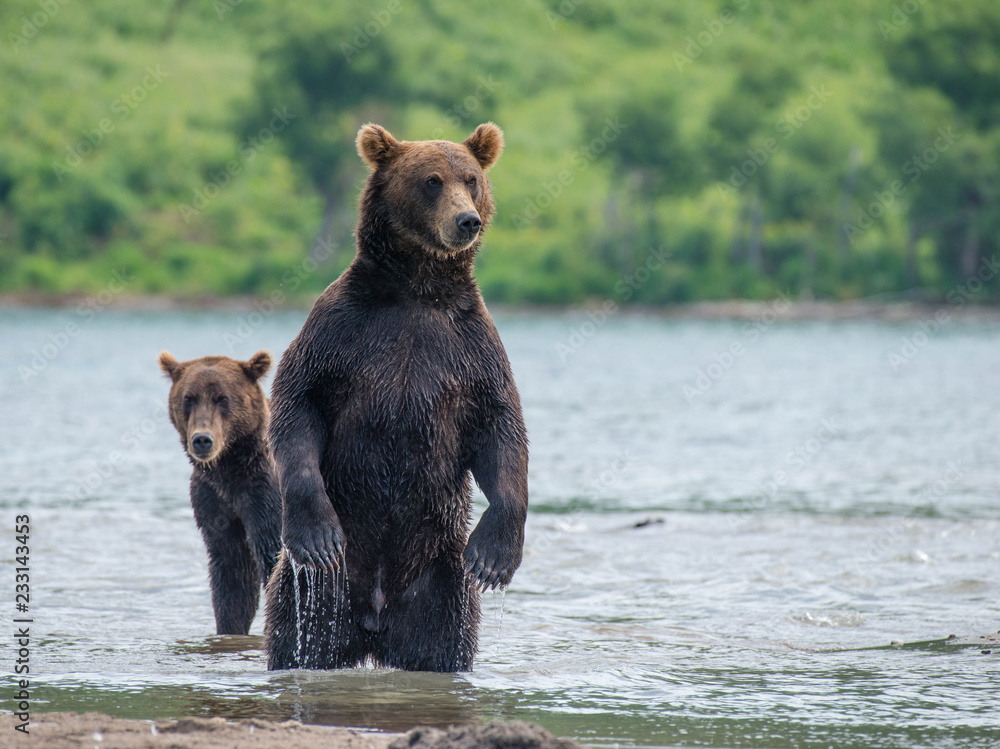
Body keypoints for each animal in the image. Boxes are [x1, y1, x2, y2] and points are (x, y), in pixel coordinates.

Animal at [159, 350, 283, 635]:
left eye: (222, 398)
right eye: (189, 398)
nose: (202, 440)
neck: (228, 469)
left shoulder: (263, 491)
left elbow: (271, 553)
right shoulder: (212, 497)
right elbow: (232, 571)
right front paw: (229, 627)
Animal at [264, 122, 528, 672]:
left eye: (471, 179)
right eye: (431, 181)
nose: (466, 221)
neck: (417, 290)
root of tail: (375, 618)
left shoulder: (469, 348)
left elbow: (501, 428)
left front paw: (494, 556)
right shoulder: (341, 332)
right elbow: (298, 405)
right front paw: (317, 535)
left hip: (441, 584)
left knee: (444, 644)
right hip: (318, 596)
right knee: (294, 634)